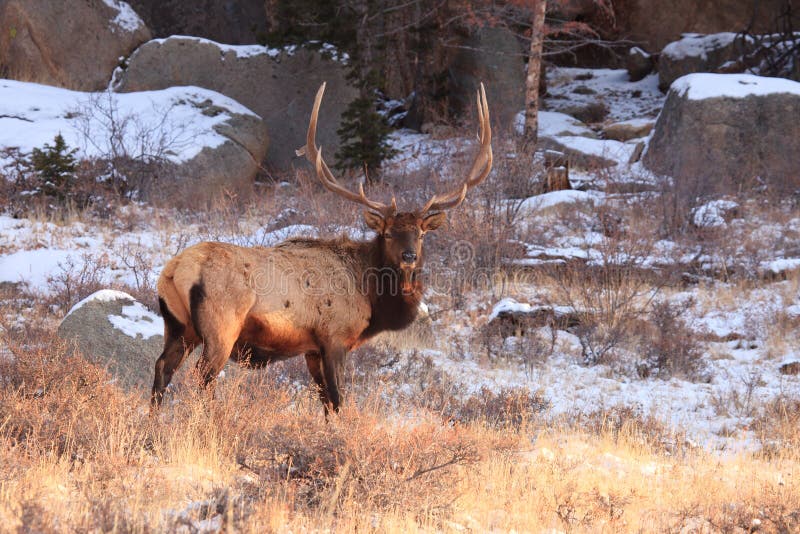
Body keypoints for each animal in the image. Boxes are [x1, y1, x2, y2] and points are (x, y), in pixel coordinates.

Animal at [151, 82, 492, 414]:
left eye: (420, 234)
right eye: (388, 233)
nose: (409, 256)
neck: (370, 294)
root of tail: (174, 272)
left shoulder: (311, 349)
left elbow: (325, 402)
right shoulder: (334, 337)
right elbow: (339, 400)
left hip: (177, 325)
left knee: (162, 367)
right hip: (221, 325)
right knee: (202, 377)